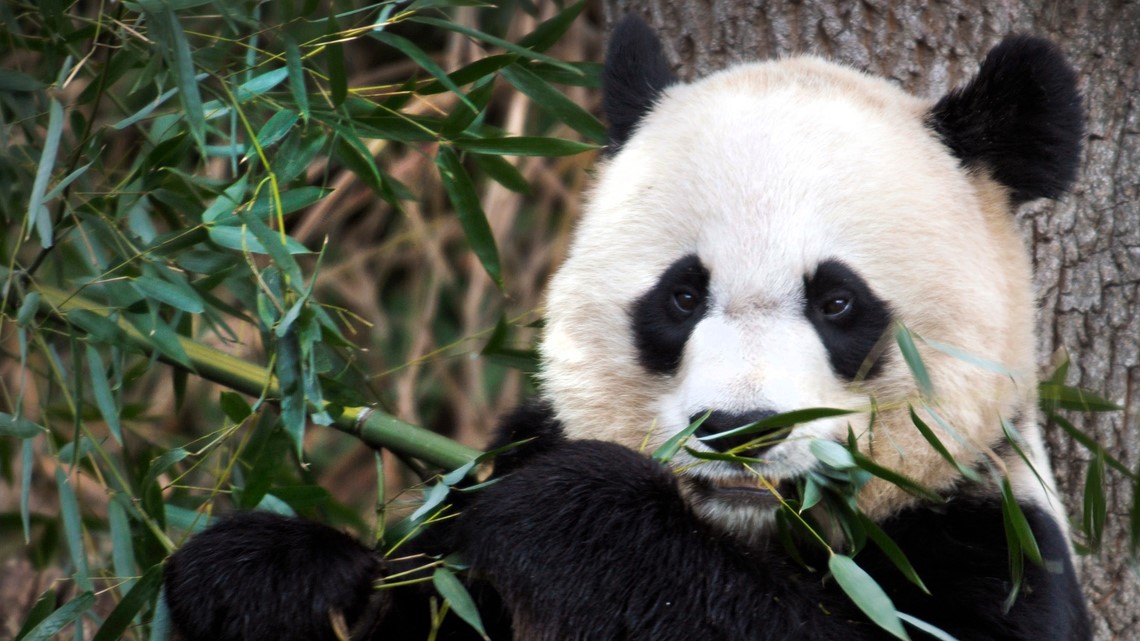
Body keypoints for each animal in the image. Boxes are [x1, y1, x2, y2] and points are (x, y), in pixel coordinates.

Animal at [163, 16, 1090, 641]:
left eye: (837, 302)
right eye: (681, 297)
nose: (738, 430)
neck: (739, 533)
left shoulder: (989, 537)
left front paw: (574, 514)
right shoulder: (490, 501)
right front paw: (278, 578)